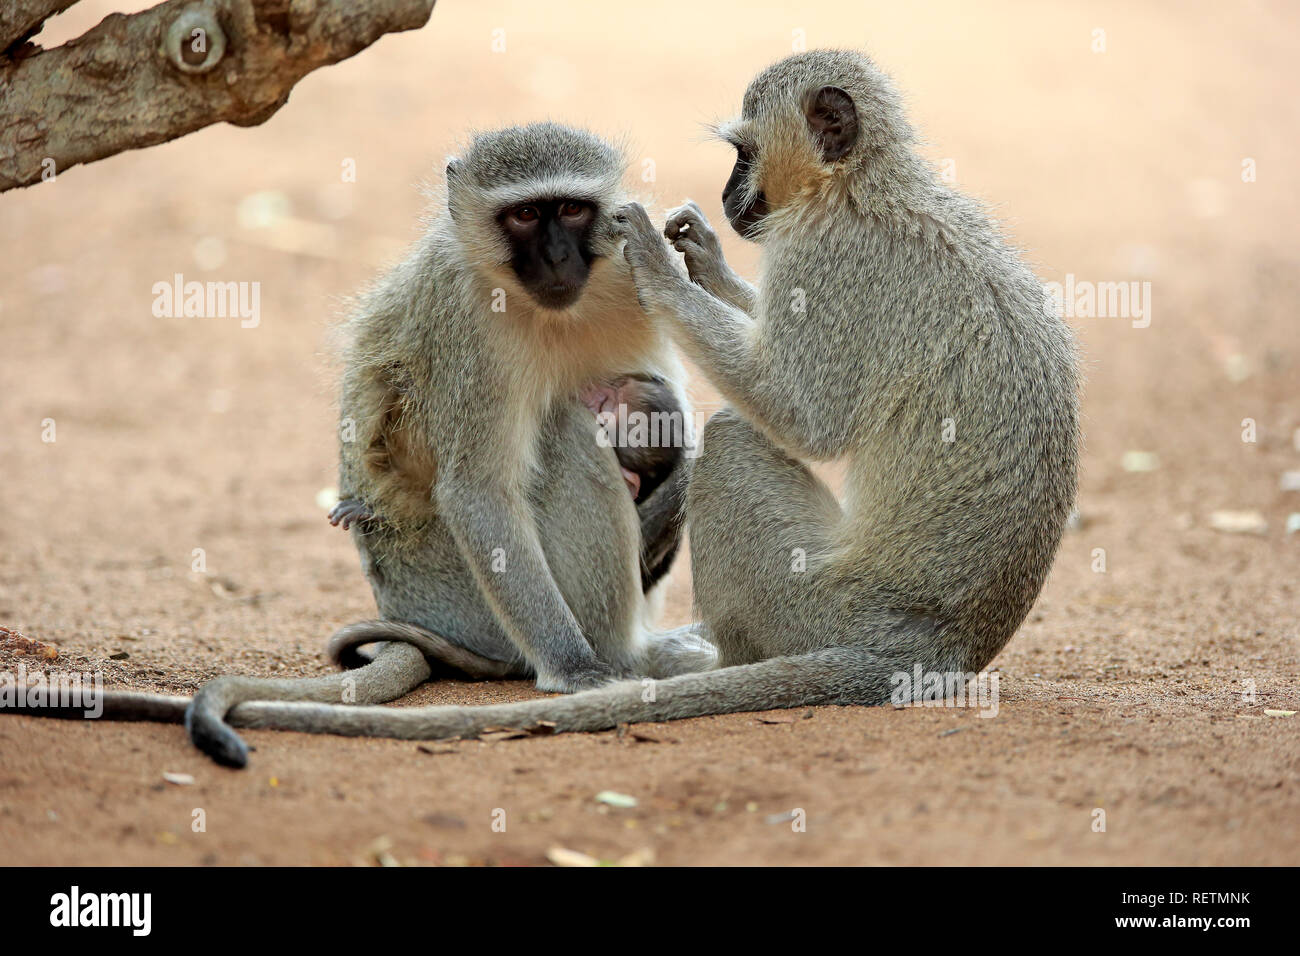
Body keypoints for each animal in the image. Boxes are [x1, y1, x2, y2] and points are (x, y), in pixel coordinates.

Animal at [88, 48, 1078, 749]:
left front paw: (663, 262)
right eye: (528, 217)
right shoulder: (465, 311)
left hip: (813, 601)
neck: (869, 183)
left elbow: (802, 417)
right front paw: (699, 257)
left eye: (569, 212)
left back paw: (670, 658)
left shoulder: (827, 258)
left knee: (715, 437)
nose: (729, 196)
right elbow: (481, 485)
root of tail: (935, 653)